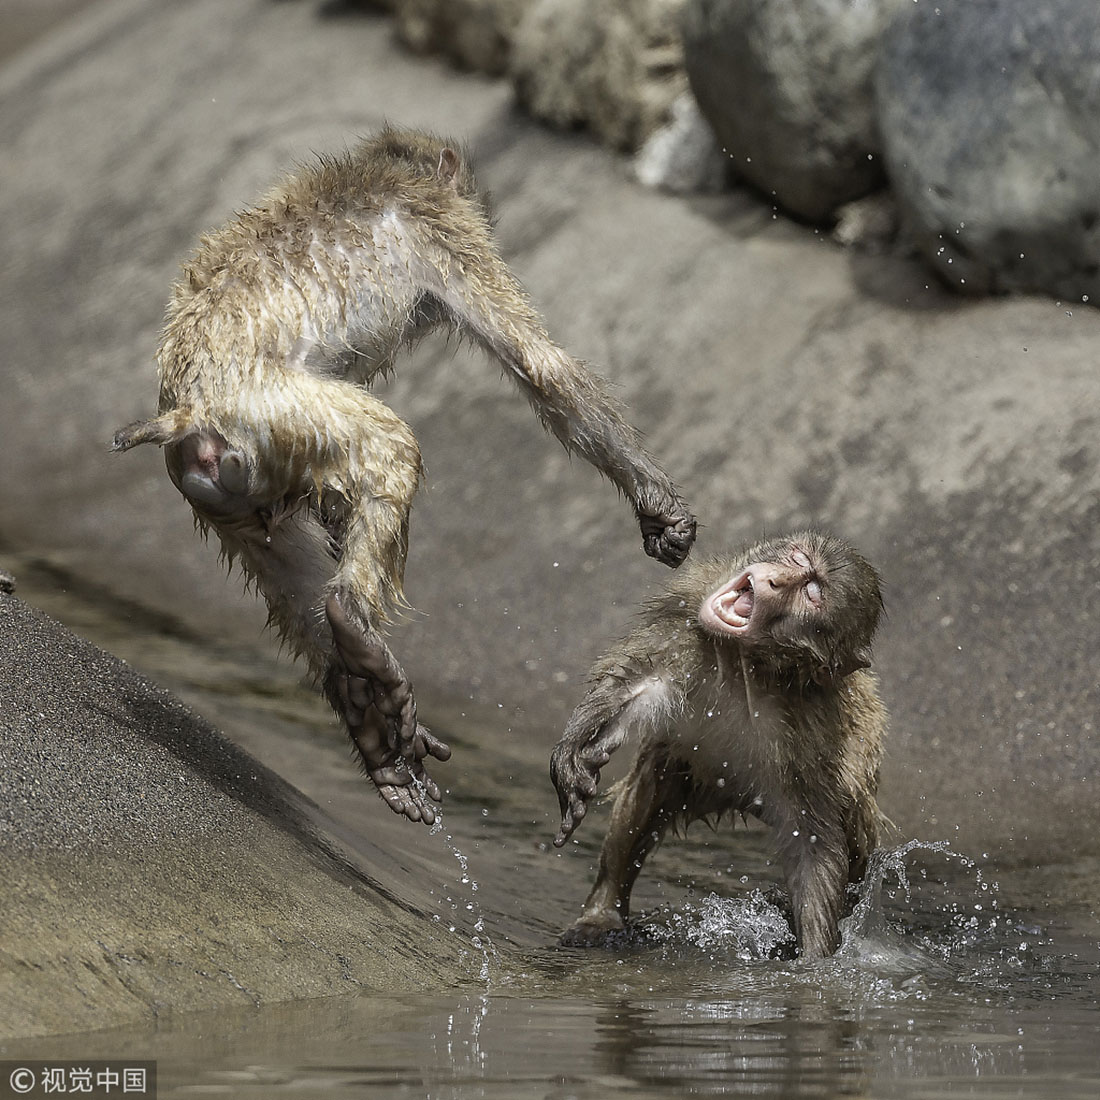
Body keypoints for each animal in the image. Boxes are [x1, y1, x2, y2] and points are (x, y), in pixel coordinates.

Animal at [113, 127, 696, 826]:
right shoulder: (445, 230)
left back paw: (366, 715)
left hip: (229, 487)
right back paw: (354, 627)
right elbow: (539, 366)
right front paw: (655, 500)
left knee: (287, 560)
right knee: (392, 448)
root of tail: (188, 413)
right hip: (277, 411)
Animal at [550, 531, 887, 959]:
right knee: (646, 794)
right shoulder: (682, 624)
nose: (775, 580)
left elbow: (814, 846)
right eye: (797, 559)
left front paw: (814, 961)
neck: (744, 659)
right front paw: (576, 746)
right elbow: (630, 687)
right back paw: (603, 912)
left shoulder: (813, 741)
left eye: (812, 593)